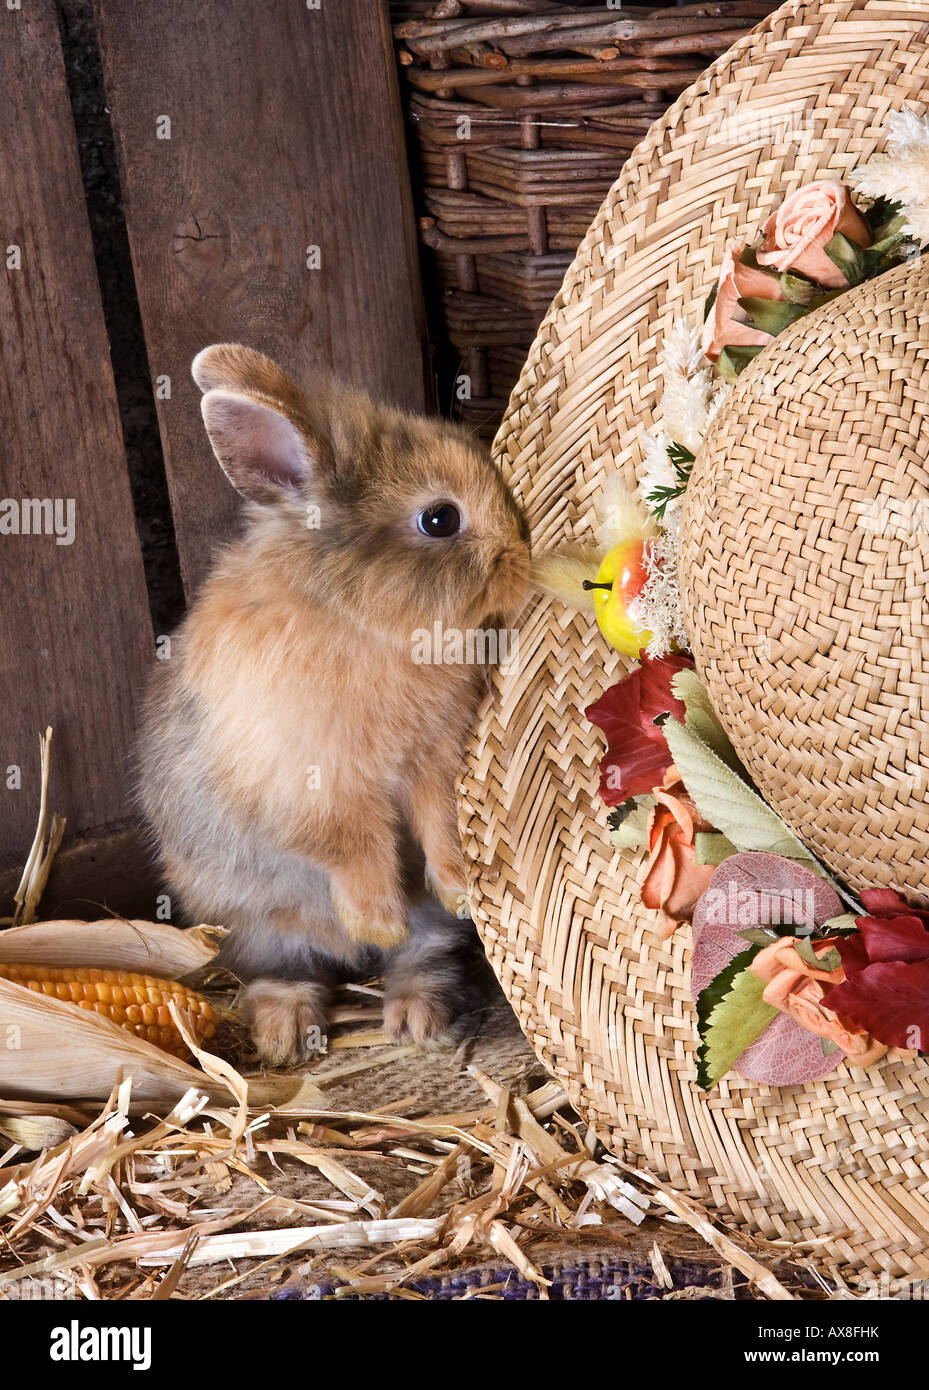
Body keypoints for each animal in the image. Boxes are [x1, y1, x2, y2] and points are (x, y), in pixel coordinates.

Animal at [137, 344, 530, 1066]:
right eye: (440, 518)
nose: (519, 556)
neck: (357, 617)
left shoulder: (433, 759)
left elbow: (439, 824)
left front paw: (459, 889)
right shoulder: (312, 784)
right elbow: (352, 847)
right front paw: (375, 918)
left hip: (412, 936)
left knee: (422, 956)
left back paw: (416, 1017)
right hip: (260, 922)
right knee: (286, 968)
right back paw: (288, 1027)